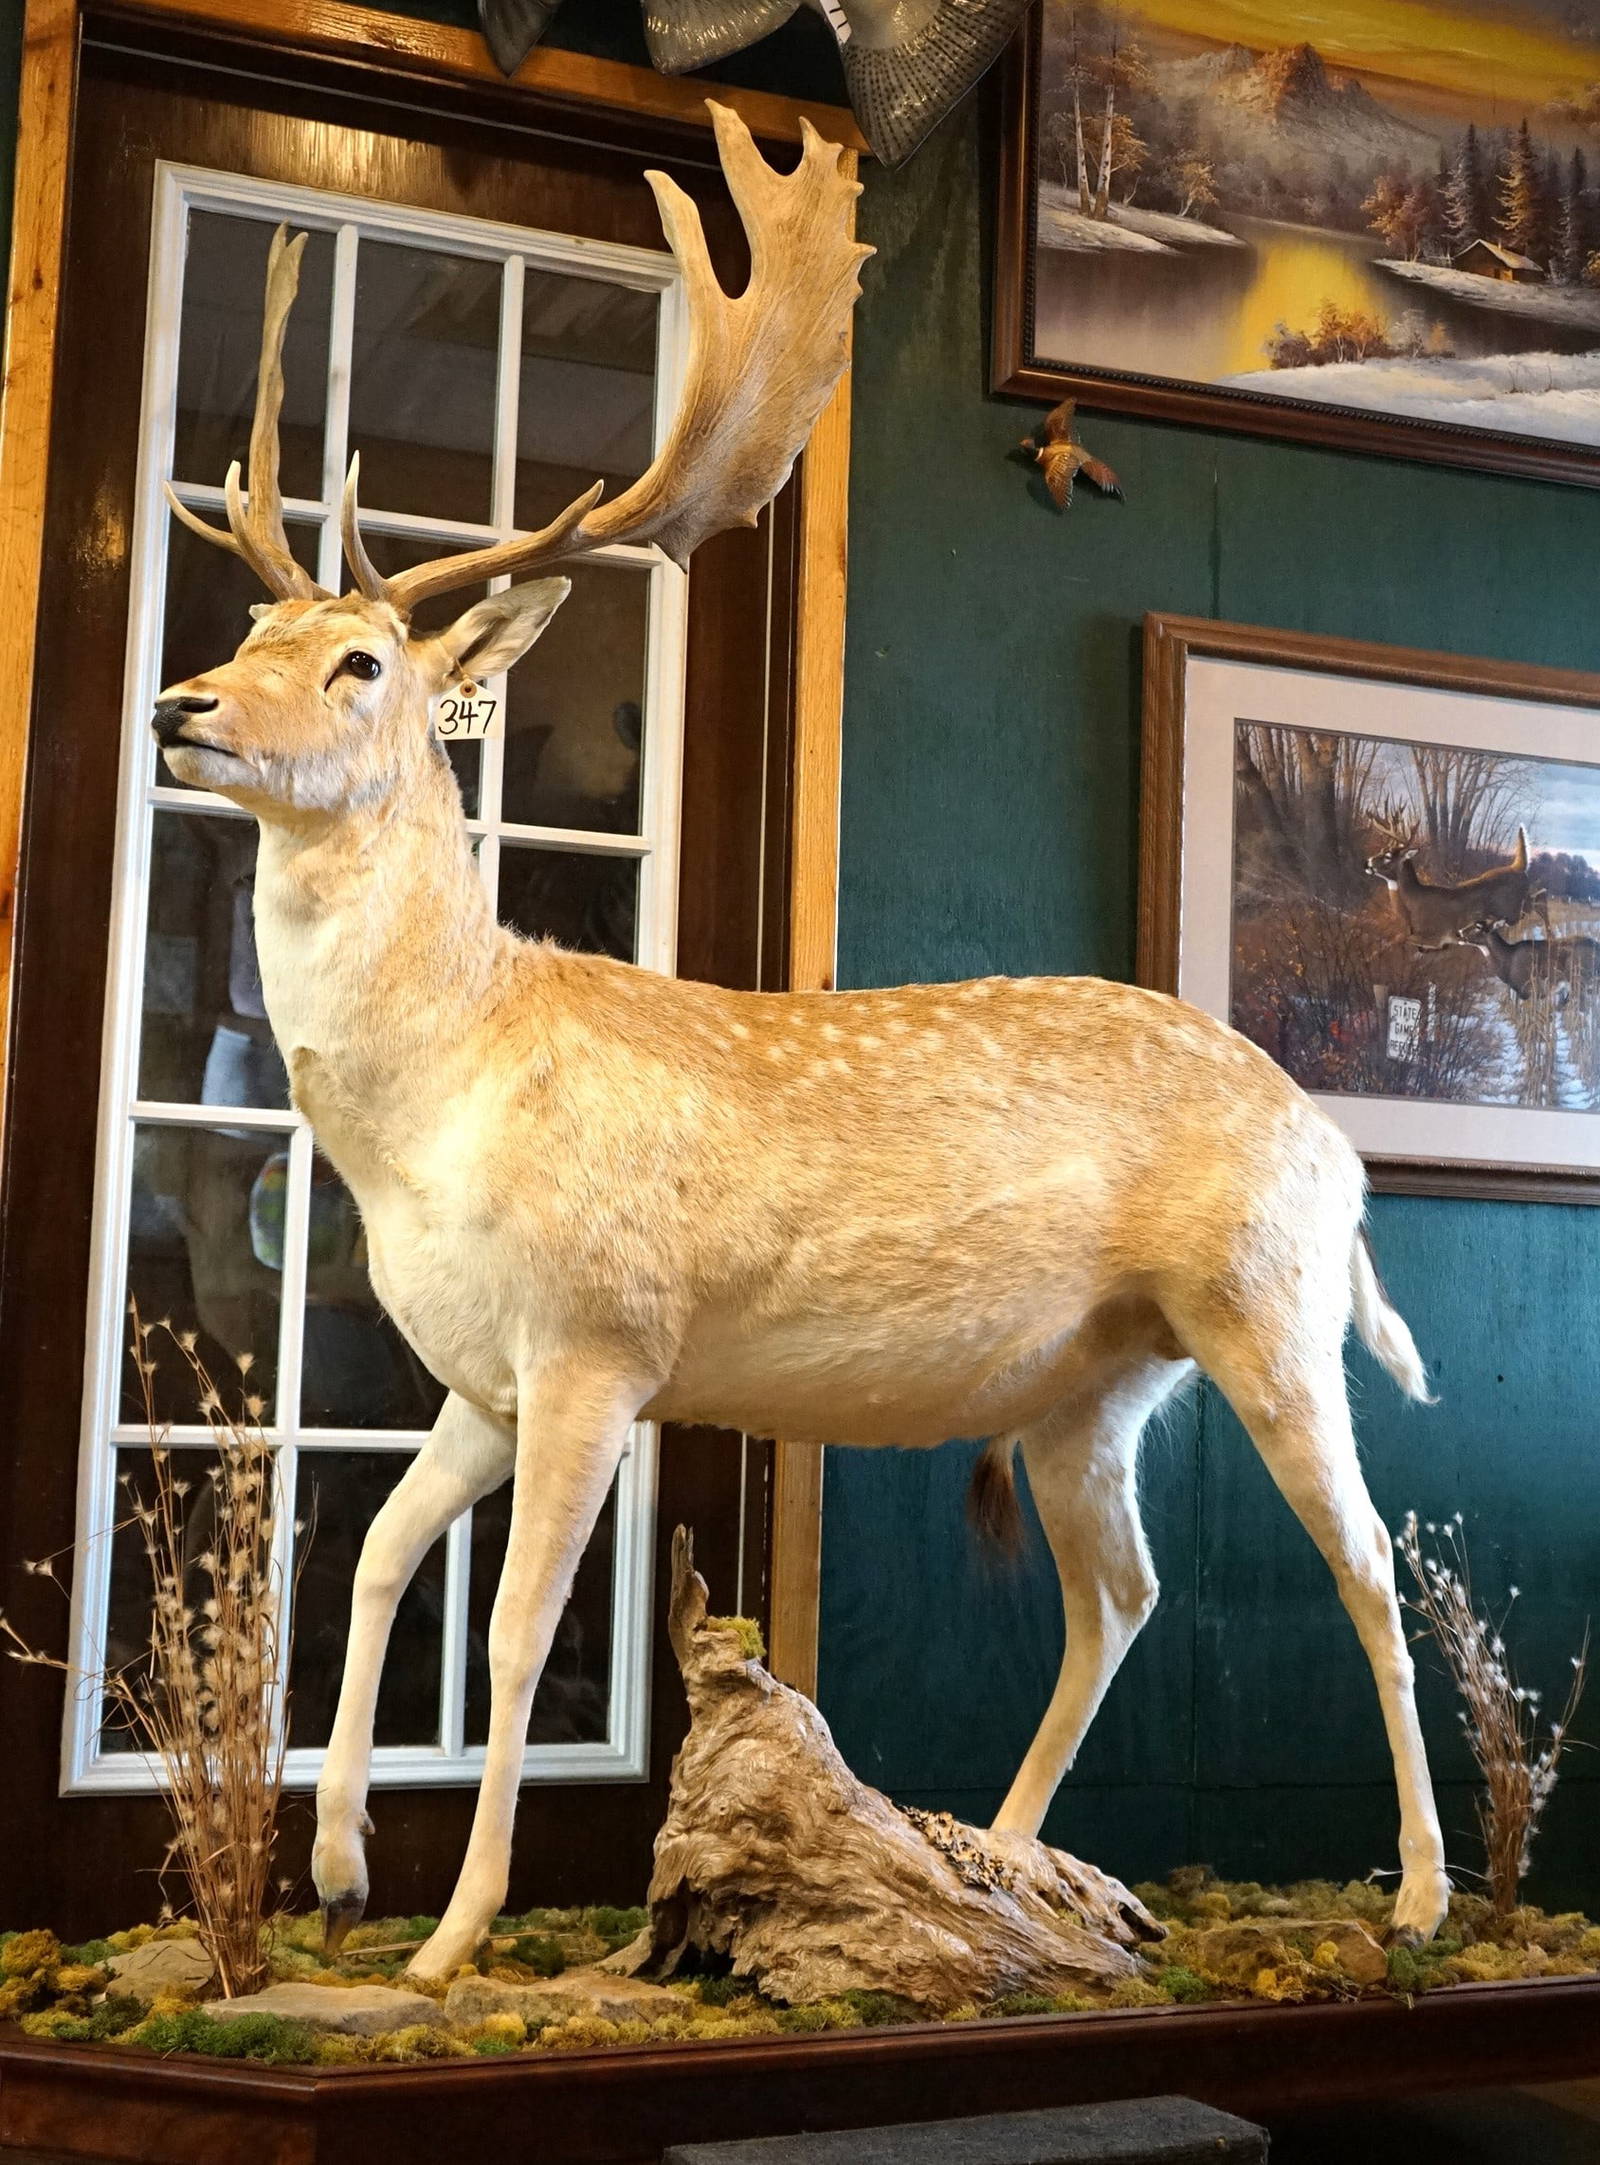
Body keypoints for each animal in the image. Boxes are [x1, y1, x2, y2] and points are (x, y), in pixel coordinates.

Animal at [151, 106, 1449, 1982]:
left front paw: (450, 1937)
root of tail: (1339, 1148)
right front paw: (331, 1866)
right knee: (1121, 1588)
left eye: (361, 666)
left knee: (1366, 1564)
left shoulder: (600, 1338)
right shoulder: (482, 1374)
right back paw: (1004, 1857)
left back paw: (1420, 1892)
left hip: (1267, 1309)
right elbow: (387, 1554)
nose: (182, 705)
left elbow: (517, 1636)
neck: (437, 1105)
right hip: (1096, 1380)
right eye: (250, 634)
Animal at [1365, 817, 1532, 950]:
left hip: (1515, 912)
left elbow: (1398, 940)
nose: (1367, 862)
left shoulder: (1435, 935)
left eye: (1388, 856)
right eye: (1381, 849)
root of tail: (1517, 867)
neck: (1412, 904)